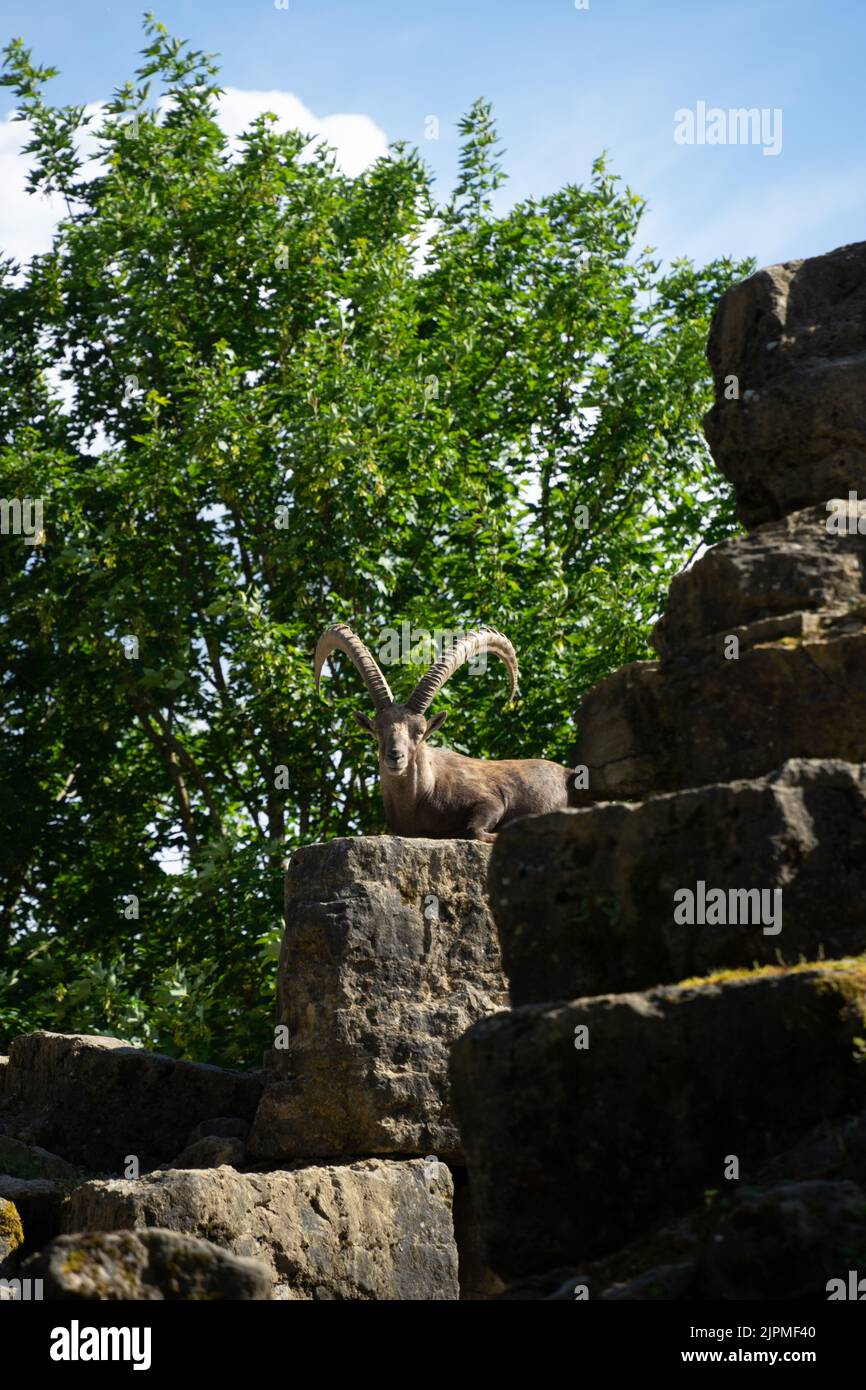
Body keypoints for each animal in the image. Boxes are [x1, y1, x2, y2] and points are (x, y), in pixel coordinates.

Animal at [314, 623, 581, 841]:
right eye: (377, 729)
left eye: (420, 731)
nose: (395, 756)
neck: (419, 797)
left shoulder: (491, 799)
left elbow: (476, 828)